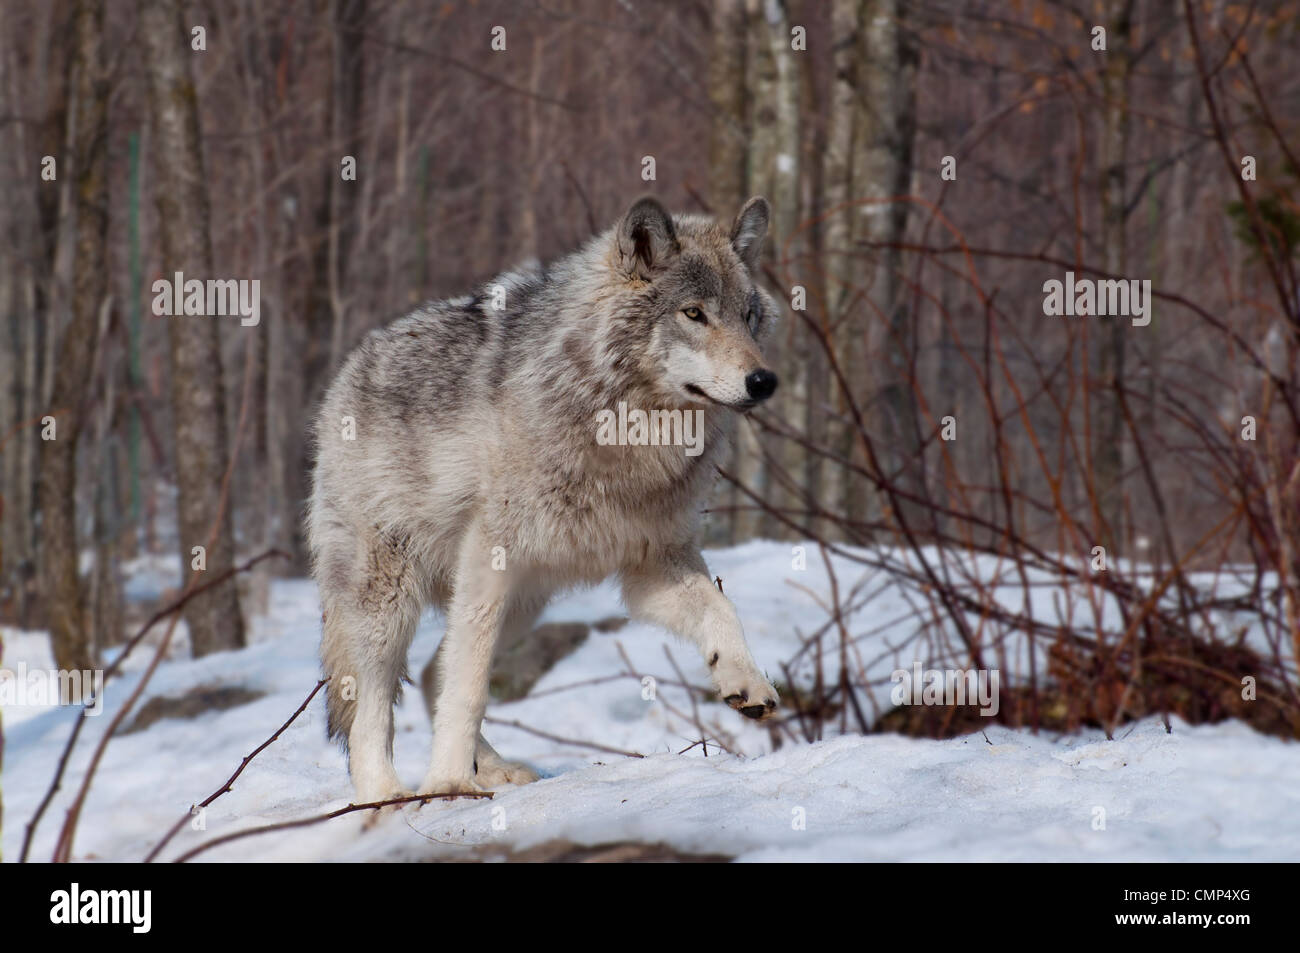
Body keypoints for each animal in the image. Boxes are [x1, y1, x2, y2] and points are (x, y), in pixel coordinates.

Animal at [308, 195, 781, 802]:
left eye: (748, 317)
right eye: (694, 314)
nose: (763, 380)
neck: (627, 436)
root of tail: (348, 369)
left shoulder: (653, 563)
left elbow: (722, 608)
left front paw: (745, 678)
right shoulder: (488, 556)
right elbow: (469, 687)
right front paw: (449, 782)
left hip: (527, 599)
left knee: (436, 671)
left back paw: (494, 770)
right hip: (391, 596)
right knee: (376, 698)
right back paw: (386, 797)